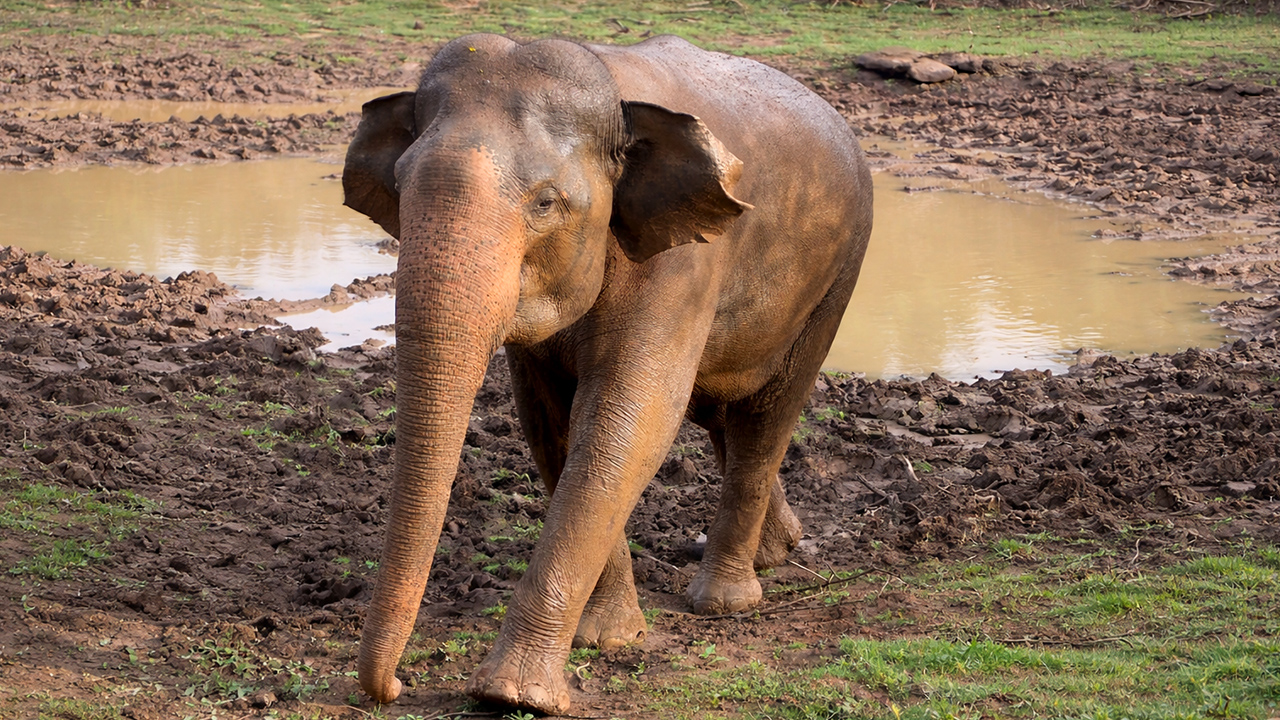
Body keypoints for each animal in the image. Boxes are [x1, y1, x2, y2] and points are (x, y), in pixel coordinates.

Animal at [342, 33, 873, 713]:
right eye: (400, 185)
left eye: (546, 203)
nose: (394, 686)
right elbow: (551, 425)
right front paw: (606, 639)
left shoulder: (681, 263)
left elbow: (629, 419)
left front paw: (516, 695)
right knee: (720, 409)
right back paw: (778, 551)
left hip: (835, 276)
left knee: (765, 414)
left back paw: (724, 601)